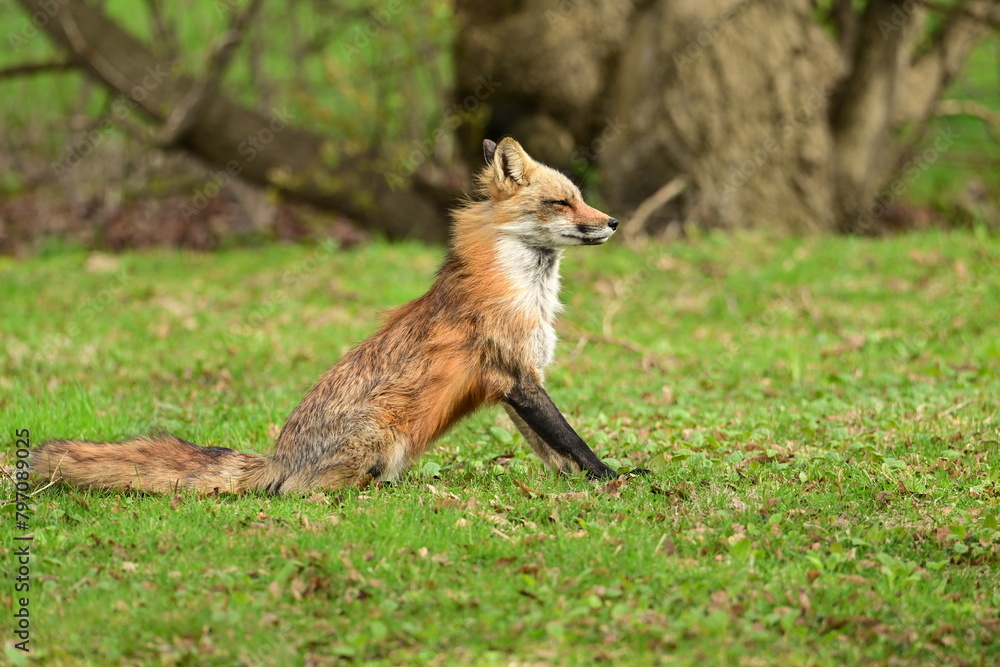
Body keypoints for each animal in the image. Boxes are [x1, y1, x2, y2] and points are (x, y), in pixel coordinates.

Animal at [32, 137, 639, 495]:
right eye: (561, 203)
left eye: (580, 197)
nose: (612, 222)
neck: (525, 289)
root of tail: (279, 459)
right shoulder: (515, 375)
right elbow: (573, 441)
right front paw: (614, 478)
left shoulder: (512, 385)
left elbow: (552, 450)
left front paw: (582, 483)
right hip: (378, 436)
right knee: (297, 492)